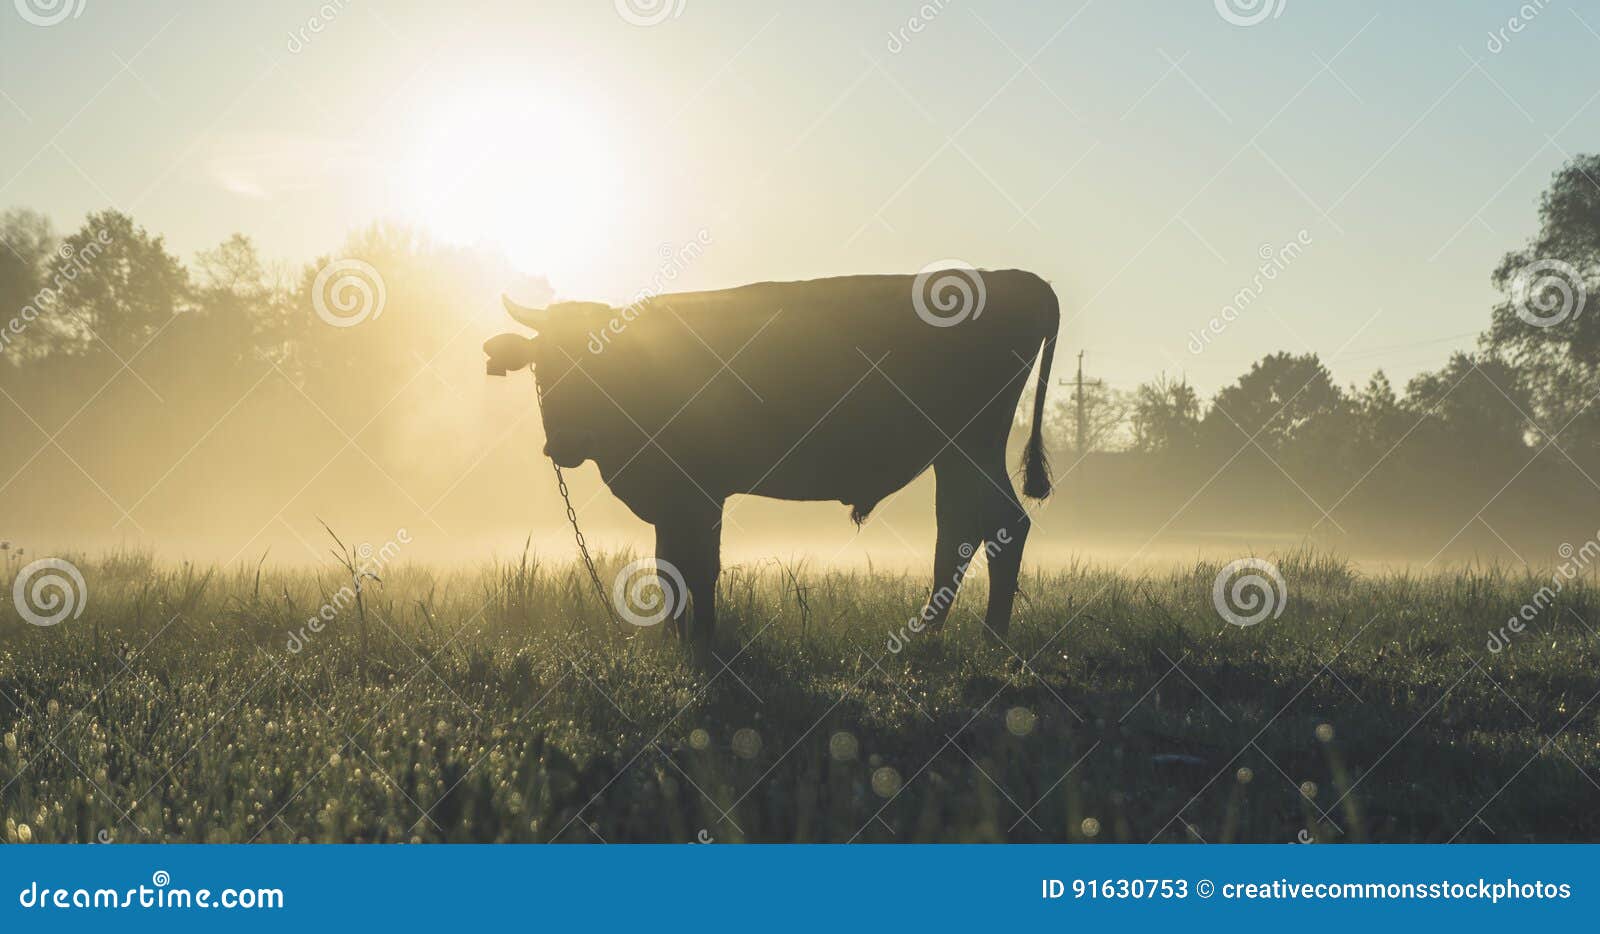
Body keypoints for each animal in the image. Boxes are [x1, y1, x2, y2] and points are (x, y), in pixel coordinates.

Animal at [484, 269, 1059, 652]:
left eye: (600, 362)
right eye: (542, 365)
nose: (567, 440)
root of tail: (1017, 279)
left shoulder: (699, 492)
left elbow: (698, 566)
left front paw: (703, 642)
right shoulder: (673, 499)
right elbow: (668, 563)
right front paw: (675, 641)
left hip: (971, 446)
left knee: (996, 525)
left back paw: (984, 637)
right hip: (957, 455)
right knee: (964, 529)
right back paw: (936, 635)